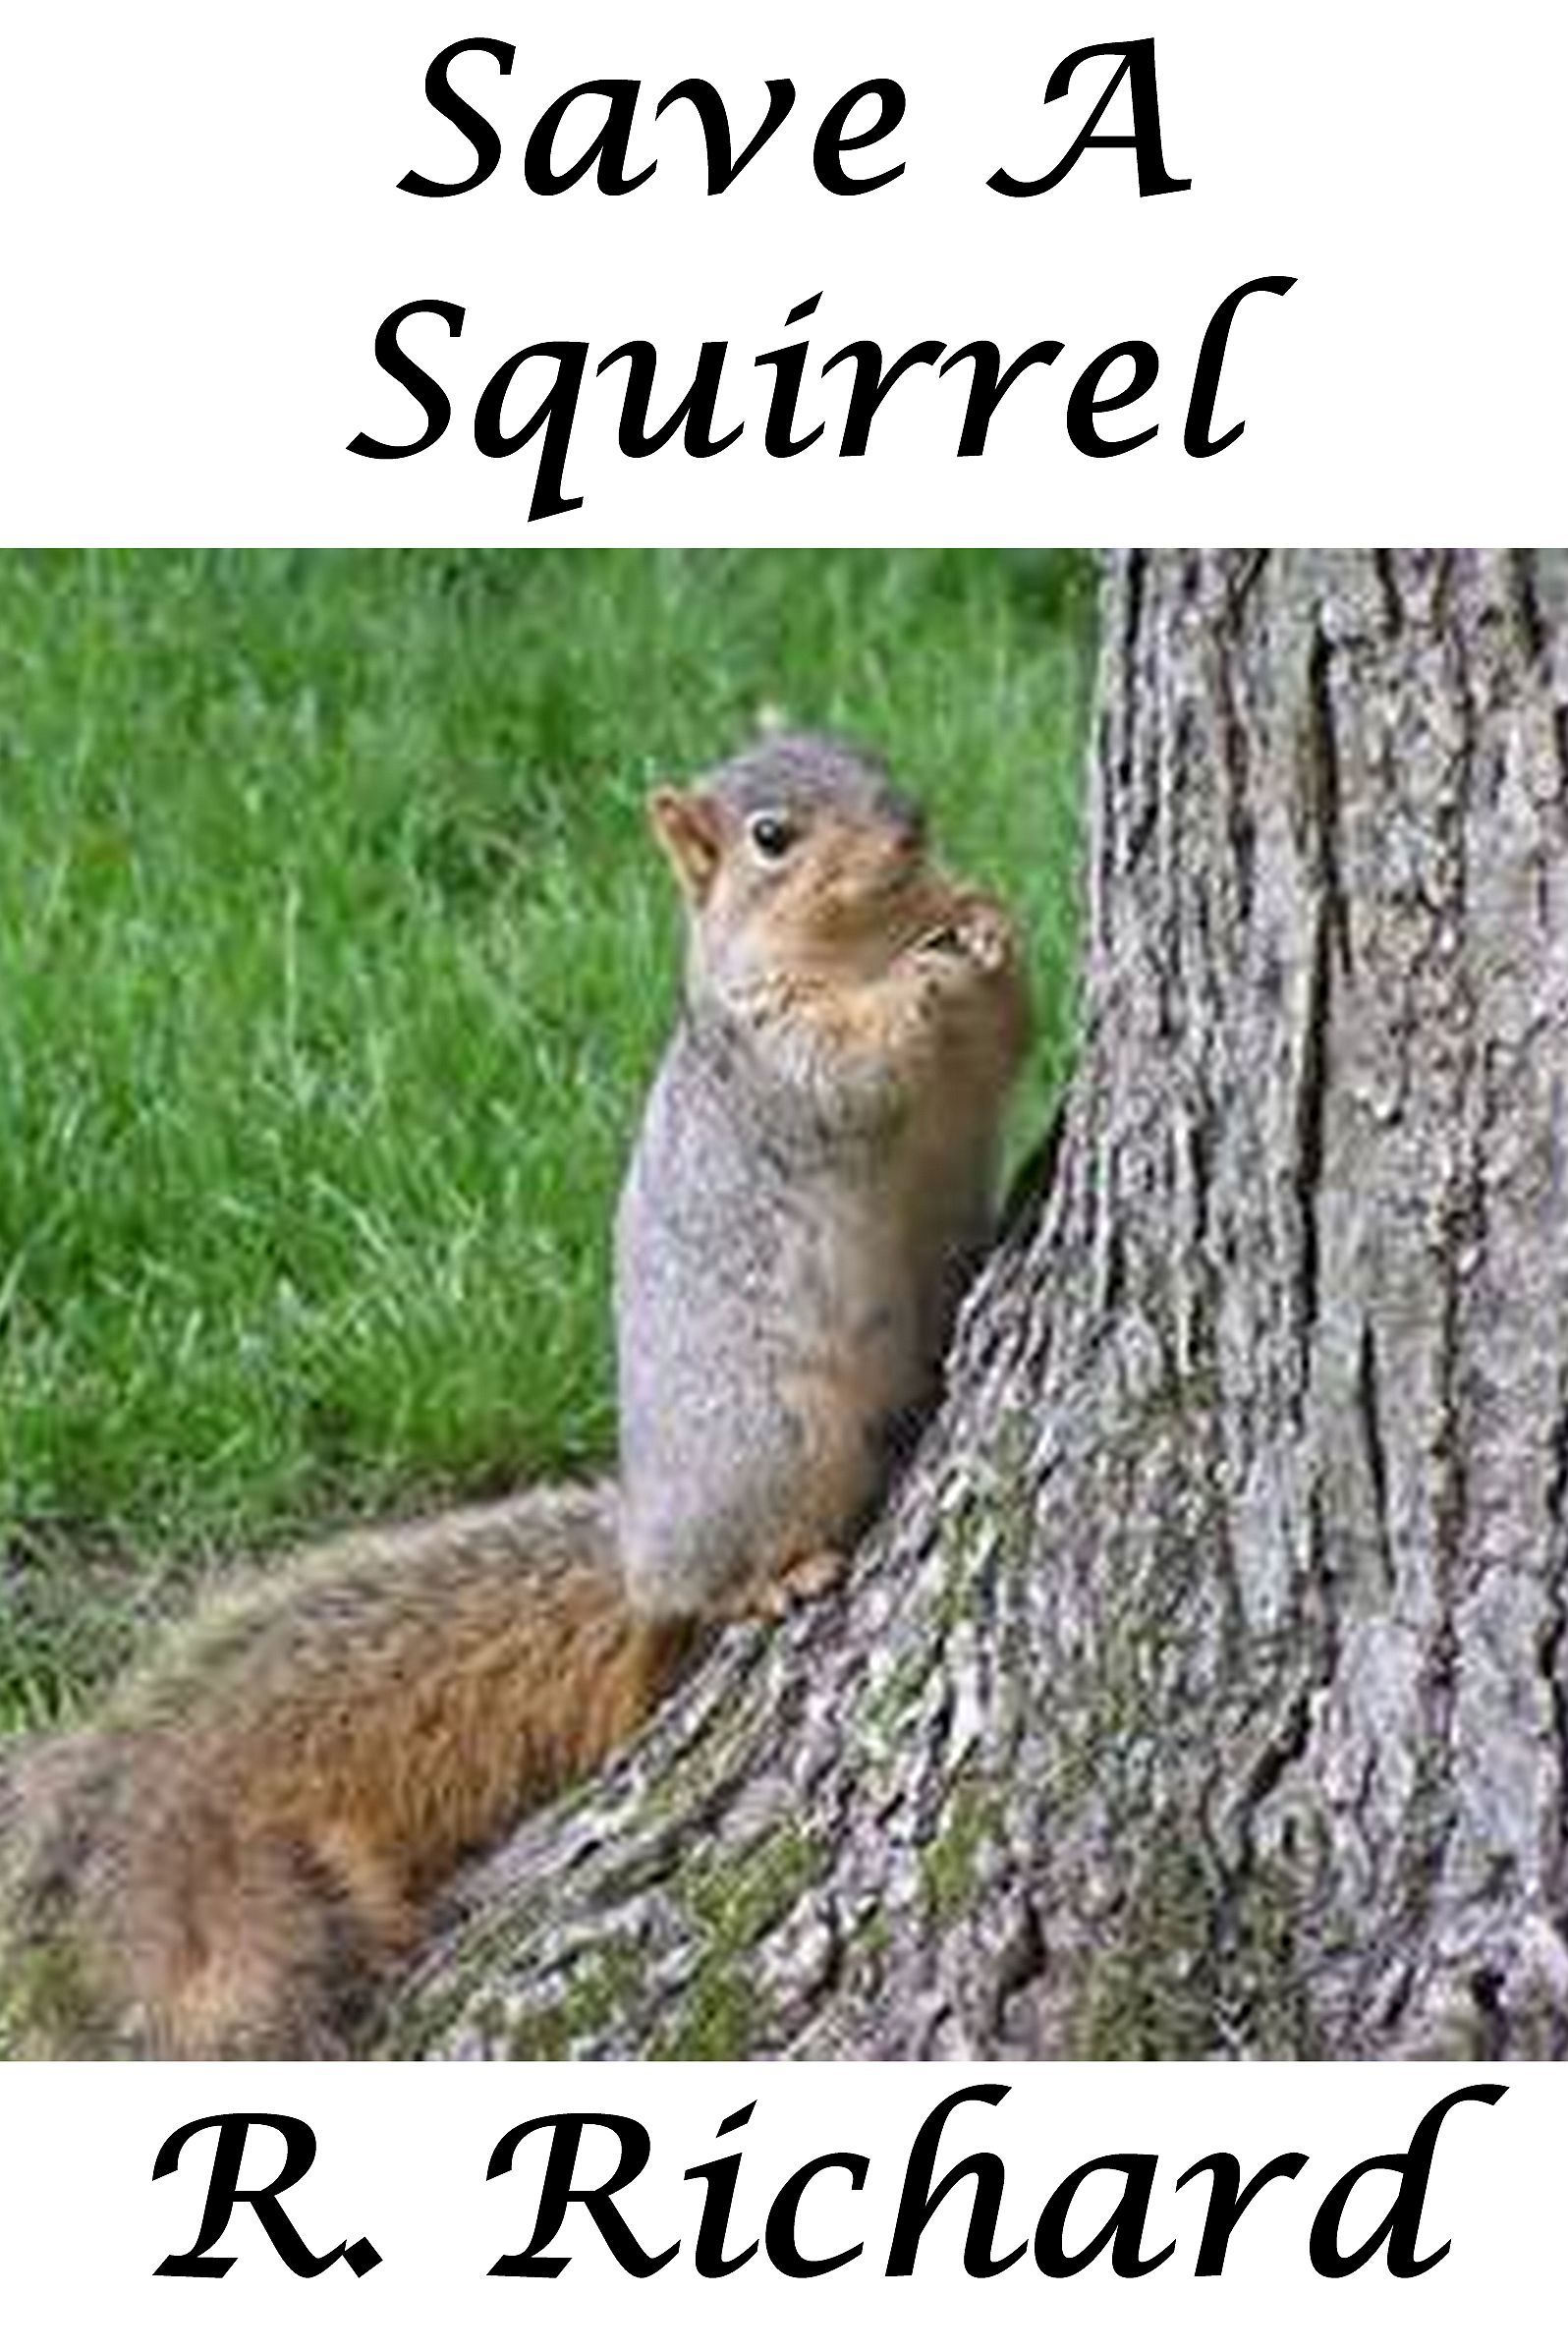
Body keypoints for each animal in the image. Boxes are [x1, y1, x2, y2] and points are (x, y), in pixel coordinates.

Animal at [0, 731, 1030, 2058]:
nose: (911, 827)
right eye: (773, 838)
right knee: (711, 1581)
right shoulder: (768, 1057)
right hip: (774, 1441)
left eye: (870, 760)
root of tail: (641, 1547)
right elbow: (852, 1070)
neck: (848, 940)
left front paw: (986, 918)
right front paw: (921, 979)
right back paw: (768, 1577)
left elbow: (1008, 1031)